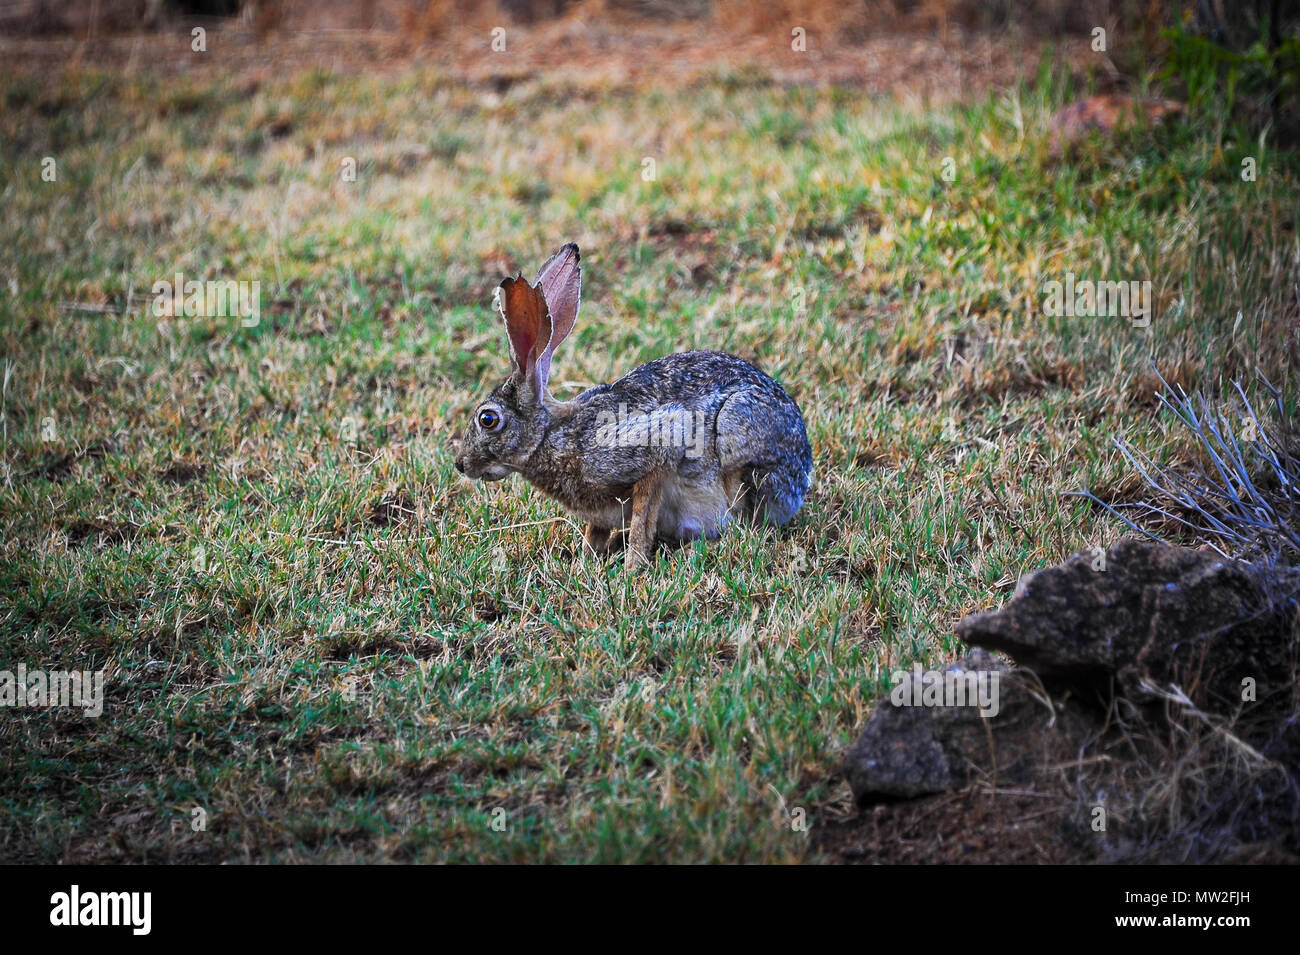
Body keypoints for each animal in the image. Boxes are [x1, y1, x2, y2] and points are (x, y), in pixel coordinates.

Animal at [454, 243, 813, 567]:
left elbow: (644, 514)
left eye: (488, 419)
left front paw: (634, 565)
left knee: (743, 521)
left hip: (736, 439)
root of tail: (801, 476)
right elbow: (596, 529)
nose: (460, 464)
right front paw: (586, 557)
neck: (550, 435)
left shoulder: (654, 447)